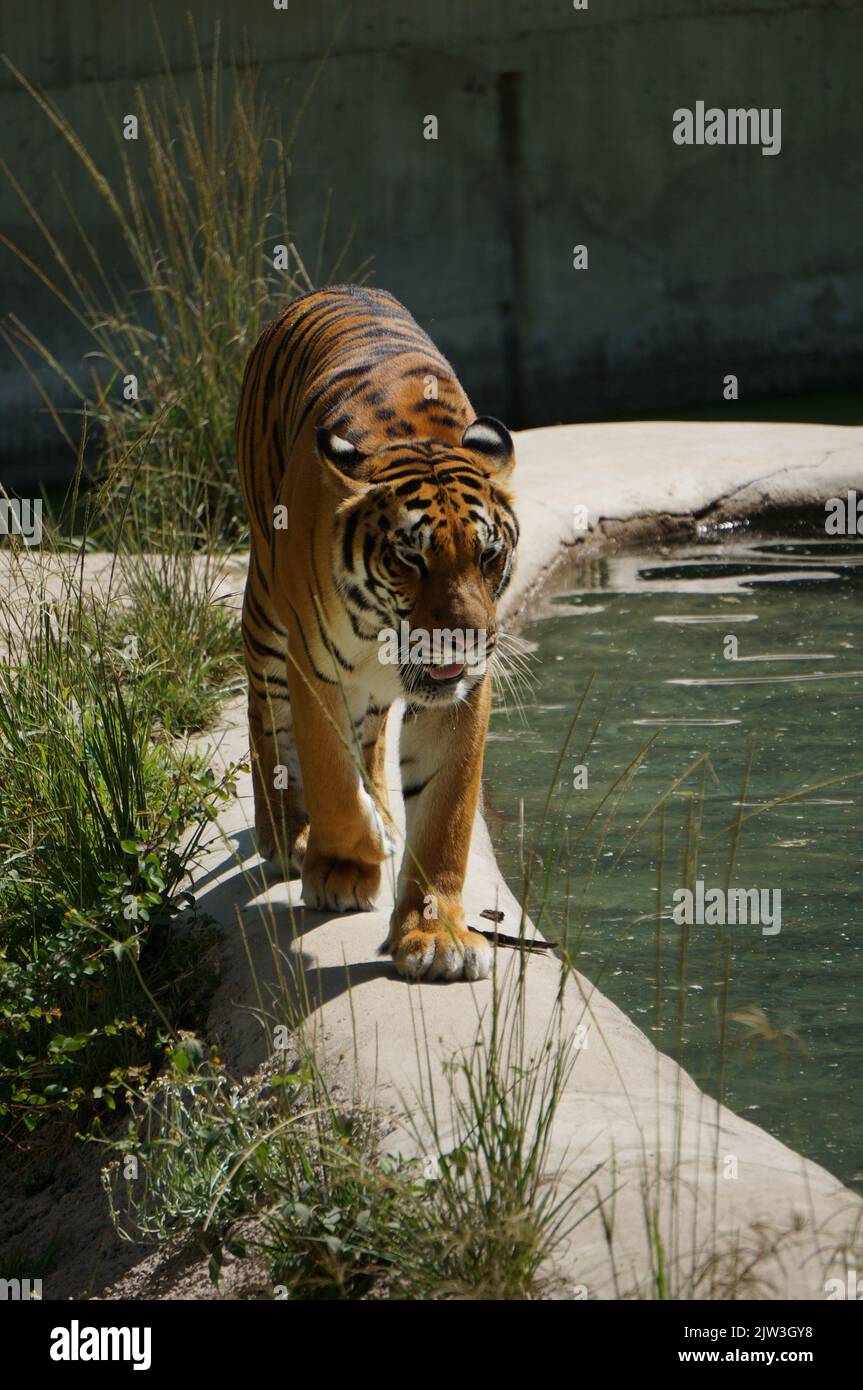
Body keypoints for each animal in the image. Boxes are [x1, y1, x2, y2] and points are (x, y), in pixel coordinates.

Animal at [235, 284, 519, 981]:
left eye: (488, 555)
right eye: (410, 557)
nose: (463, 640)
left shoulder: (462, 691)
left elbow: (445, 813)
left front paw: (437, 935)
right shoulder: (314, 668)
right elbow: (333, 781)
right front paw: (343, 866)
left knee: (368, 739)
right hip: (266, 618)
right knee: (265, 723)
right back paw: (290, 835)